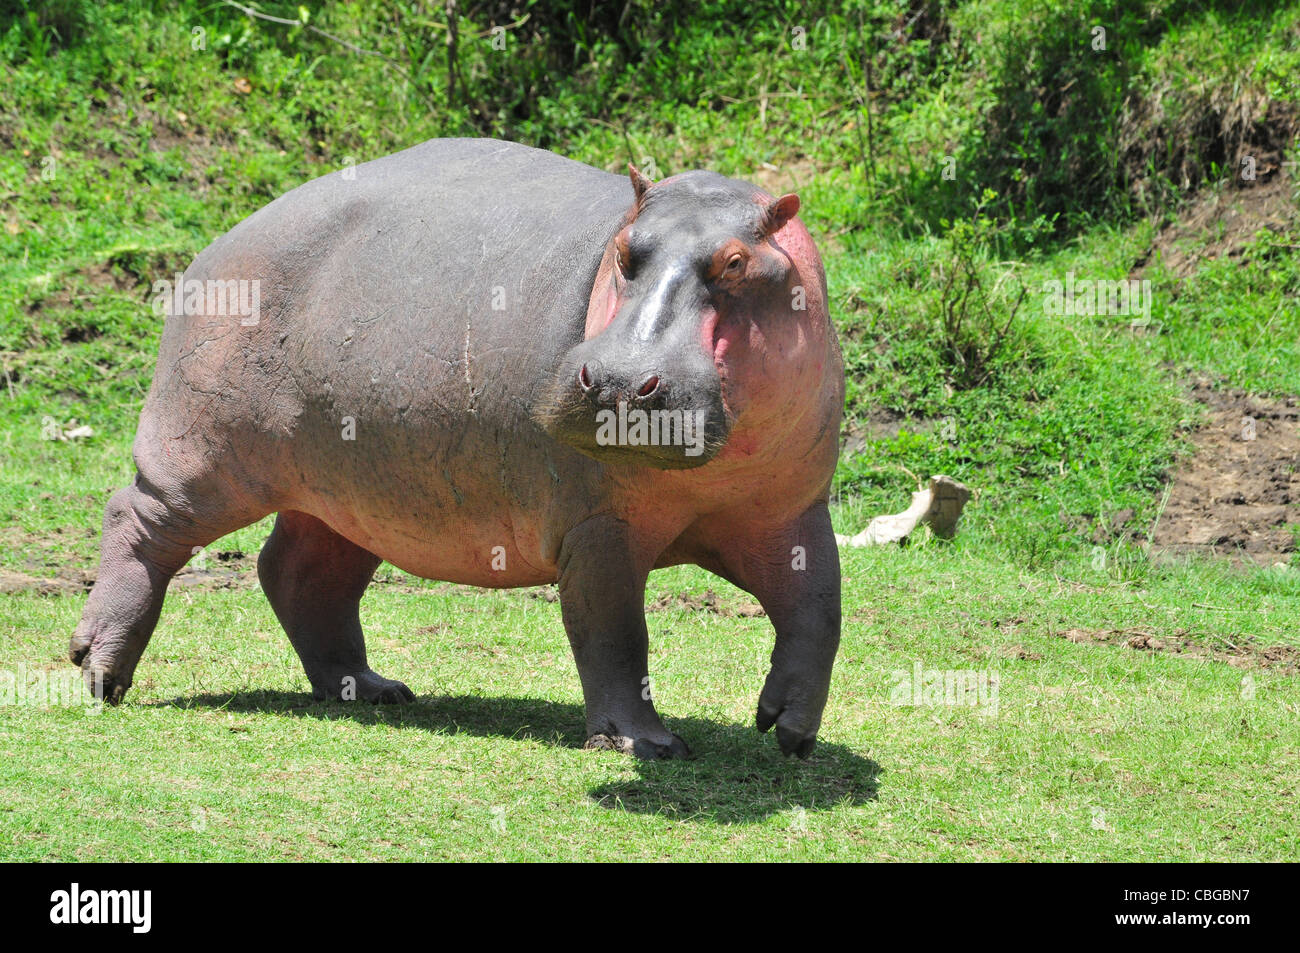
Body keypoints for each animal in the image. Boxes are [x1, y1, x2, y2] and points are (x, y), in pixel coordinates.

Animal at [70, 138, 845, 759]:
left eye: (737, 262)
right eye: (625, 254)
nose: (619, 380)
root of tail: (222, 240)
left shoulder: (791, 511)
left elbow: (818, 610)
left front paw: (791, 731)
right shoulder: (598, 529)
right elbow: (614, 635)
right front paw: (646, 745)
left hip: (349, 489)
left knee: (299, 571)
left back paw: (373, 690)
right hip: (204, 456)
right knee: (137, 520)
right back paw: (101, 673)